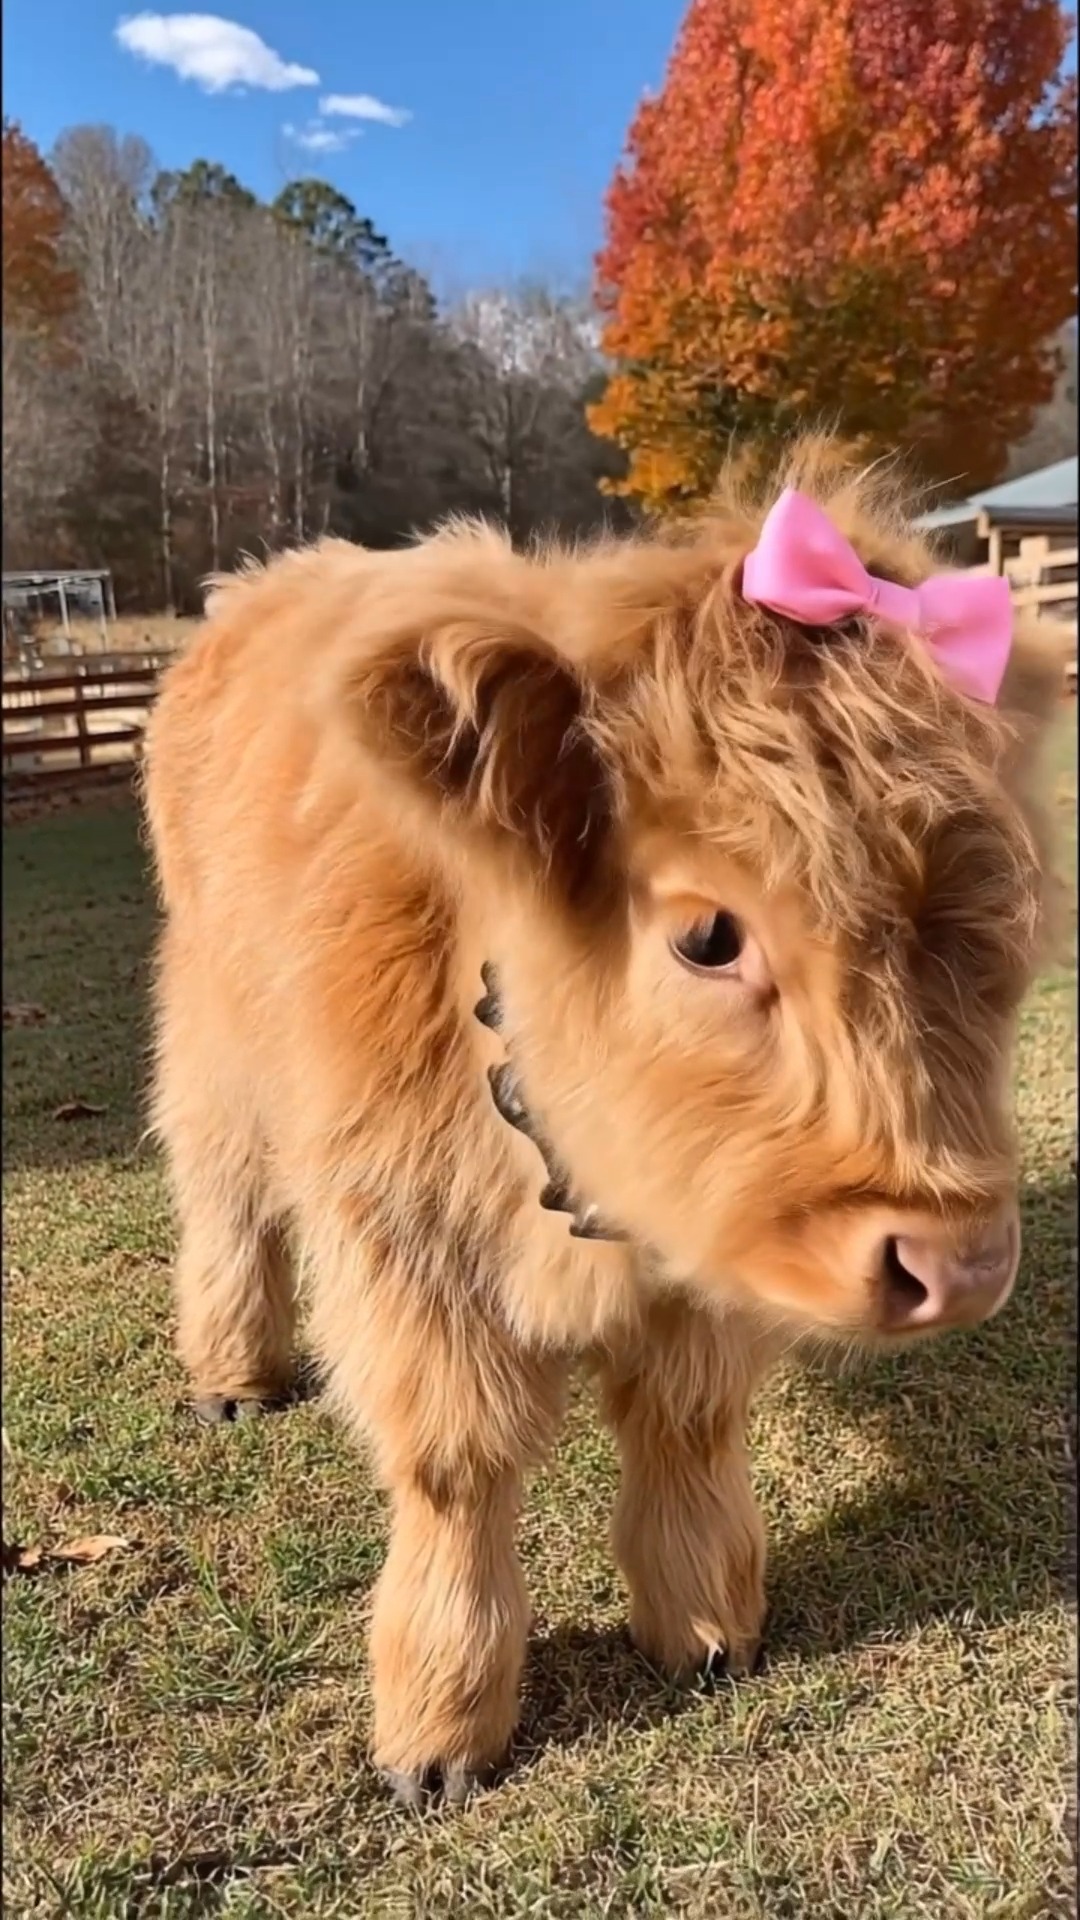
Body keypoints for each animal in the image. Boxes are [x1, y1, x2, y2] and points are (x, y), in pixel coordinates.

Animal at [141, 438, 1065, 1808]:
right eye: (707, 935)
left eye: (995, 919)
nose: (956, 1265)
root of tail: (254, 582)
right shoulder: (403, 1242)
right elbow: (454, 1467)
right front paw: (441, 1726)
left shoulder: (707, 1235)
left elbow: (686, 1429)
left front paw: (706, 1629)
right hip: (214, 1034)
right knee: (224, 1197)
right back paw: (234, 1375)